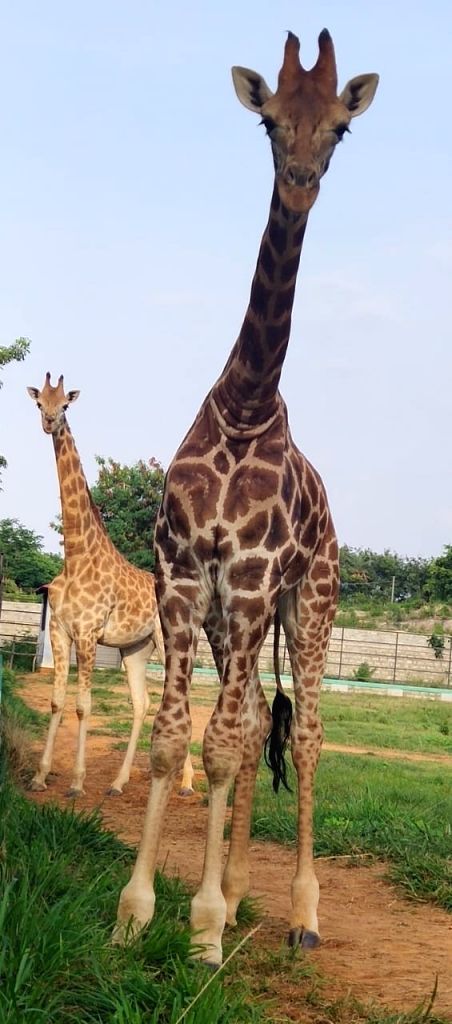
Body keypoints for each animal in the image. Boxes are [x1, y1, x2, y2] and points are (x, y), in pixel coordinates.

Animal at [27, 373, 194, 797]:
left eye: (65, 404)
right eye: (39, 403)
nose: (49, 422)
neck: (75, 556)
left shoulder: (87, 634)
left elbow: (82, 705)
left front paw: (76, 782)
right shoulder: (60, 631)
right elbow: (57, 701)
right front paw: (40, 776)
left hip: (169, 643)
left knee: (176, 698)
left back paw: (185, 783)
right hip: (135, 648)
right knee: (141, 702)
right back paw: (119, 782)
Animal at [115, 29, 378, 963]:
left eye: (339, 126)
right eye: (268, 119)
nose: (300, 179)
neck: (245, 406)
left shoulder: (258, 582)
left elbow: (224, 748)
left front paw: (198, 934)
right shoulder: (184, 578)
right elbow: (176, 742)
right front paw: (139, 915)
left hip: (309, 604)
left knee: (304, 736)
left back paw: (300, 915)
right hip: (239, 620)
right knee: (261, 714)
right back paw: (235, 895)